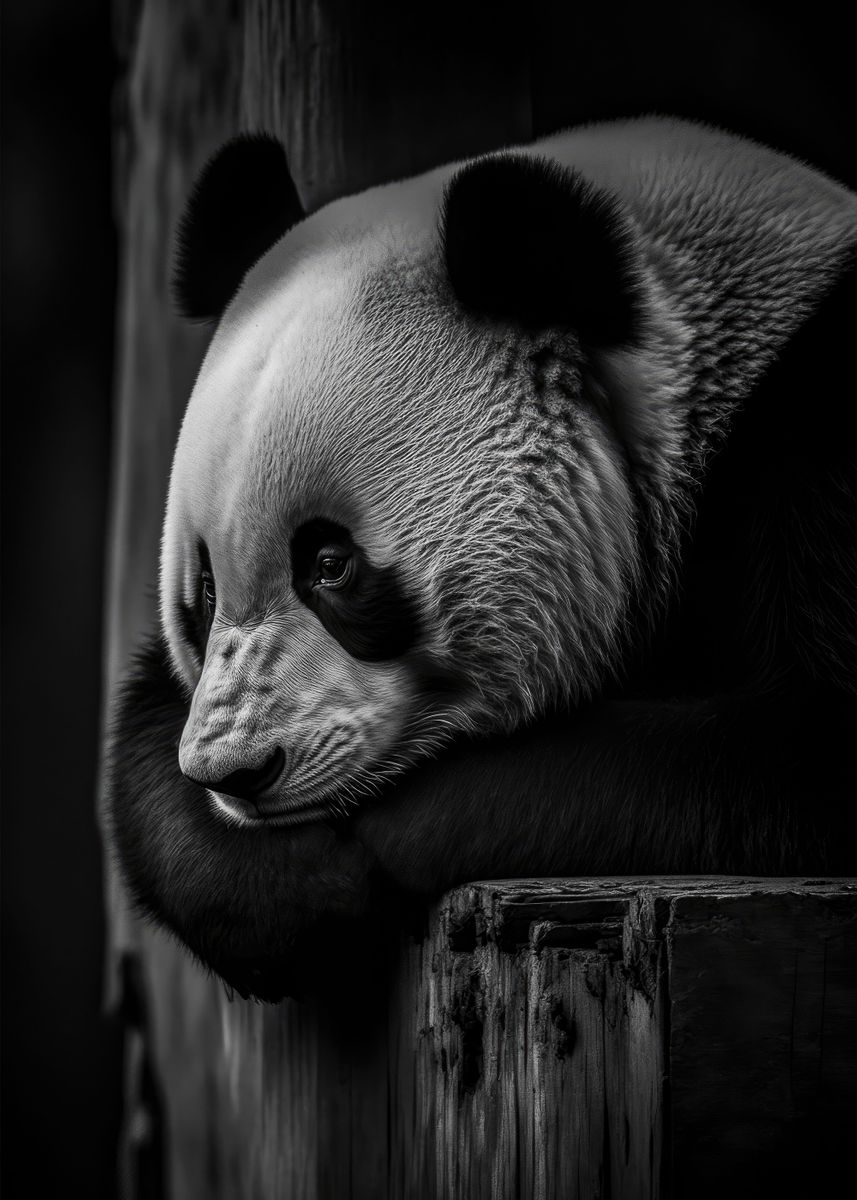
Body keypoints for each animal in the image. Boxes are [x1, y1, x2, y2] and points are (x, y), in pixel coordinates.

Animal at [108, 117, 857, 1001]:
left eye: (329, 563)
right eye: (204, 587)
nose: (234, 770)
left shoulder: (818, 444)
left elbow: (792, 752)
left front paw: (387, 841)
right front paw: (282, 891)